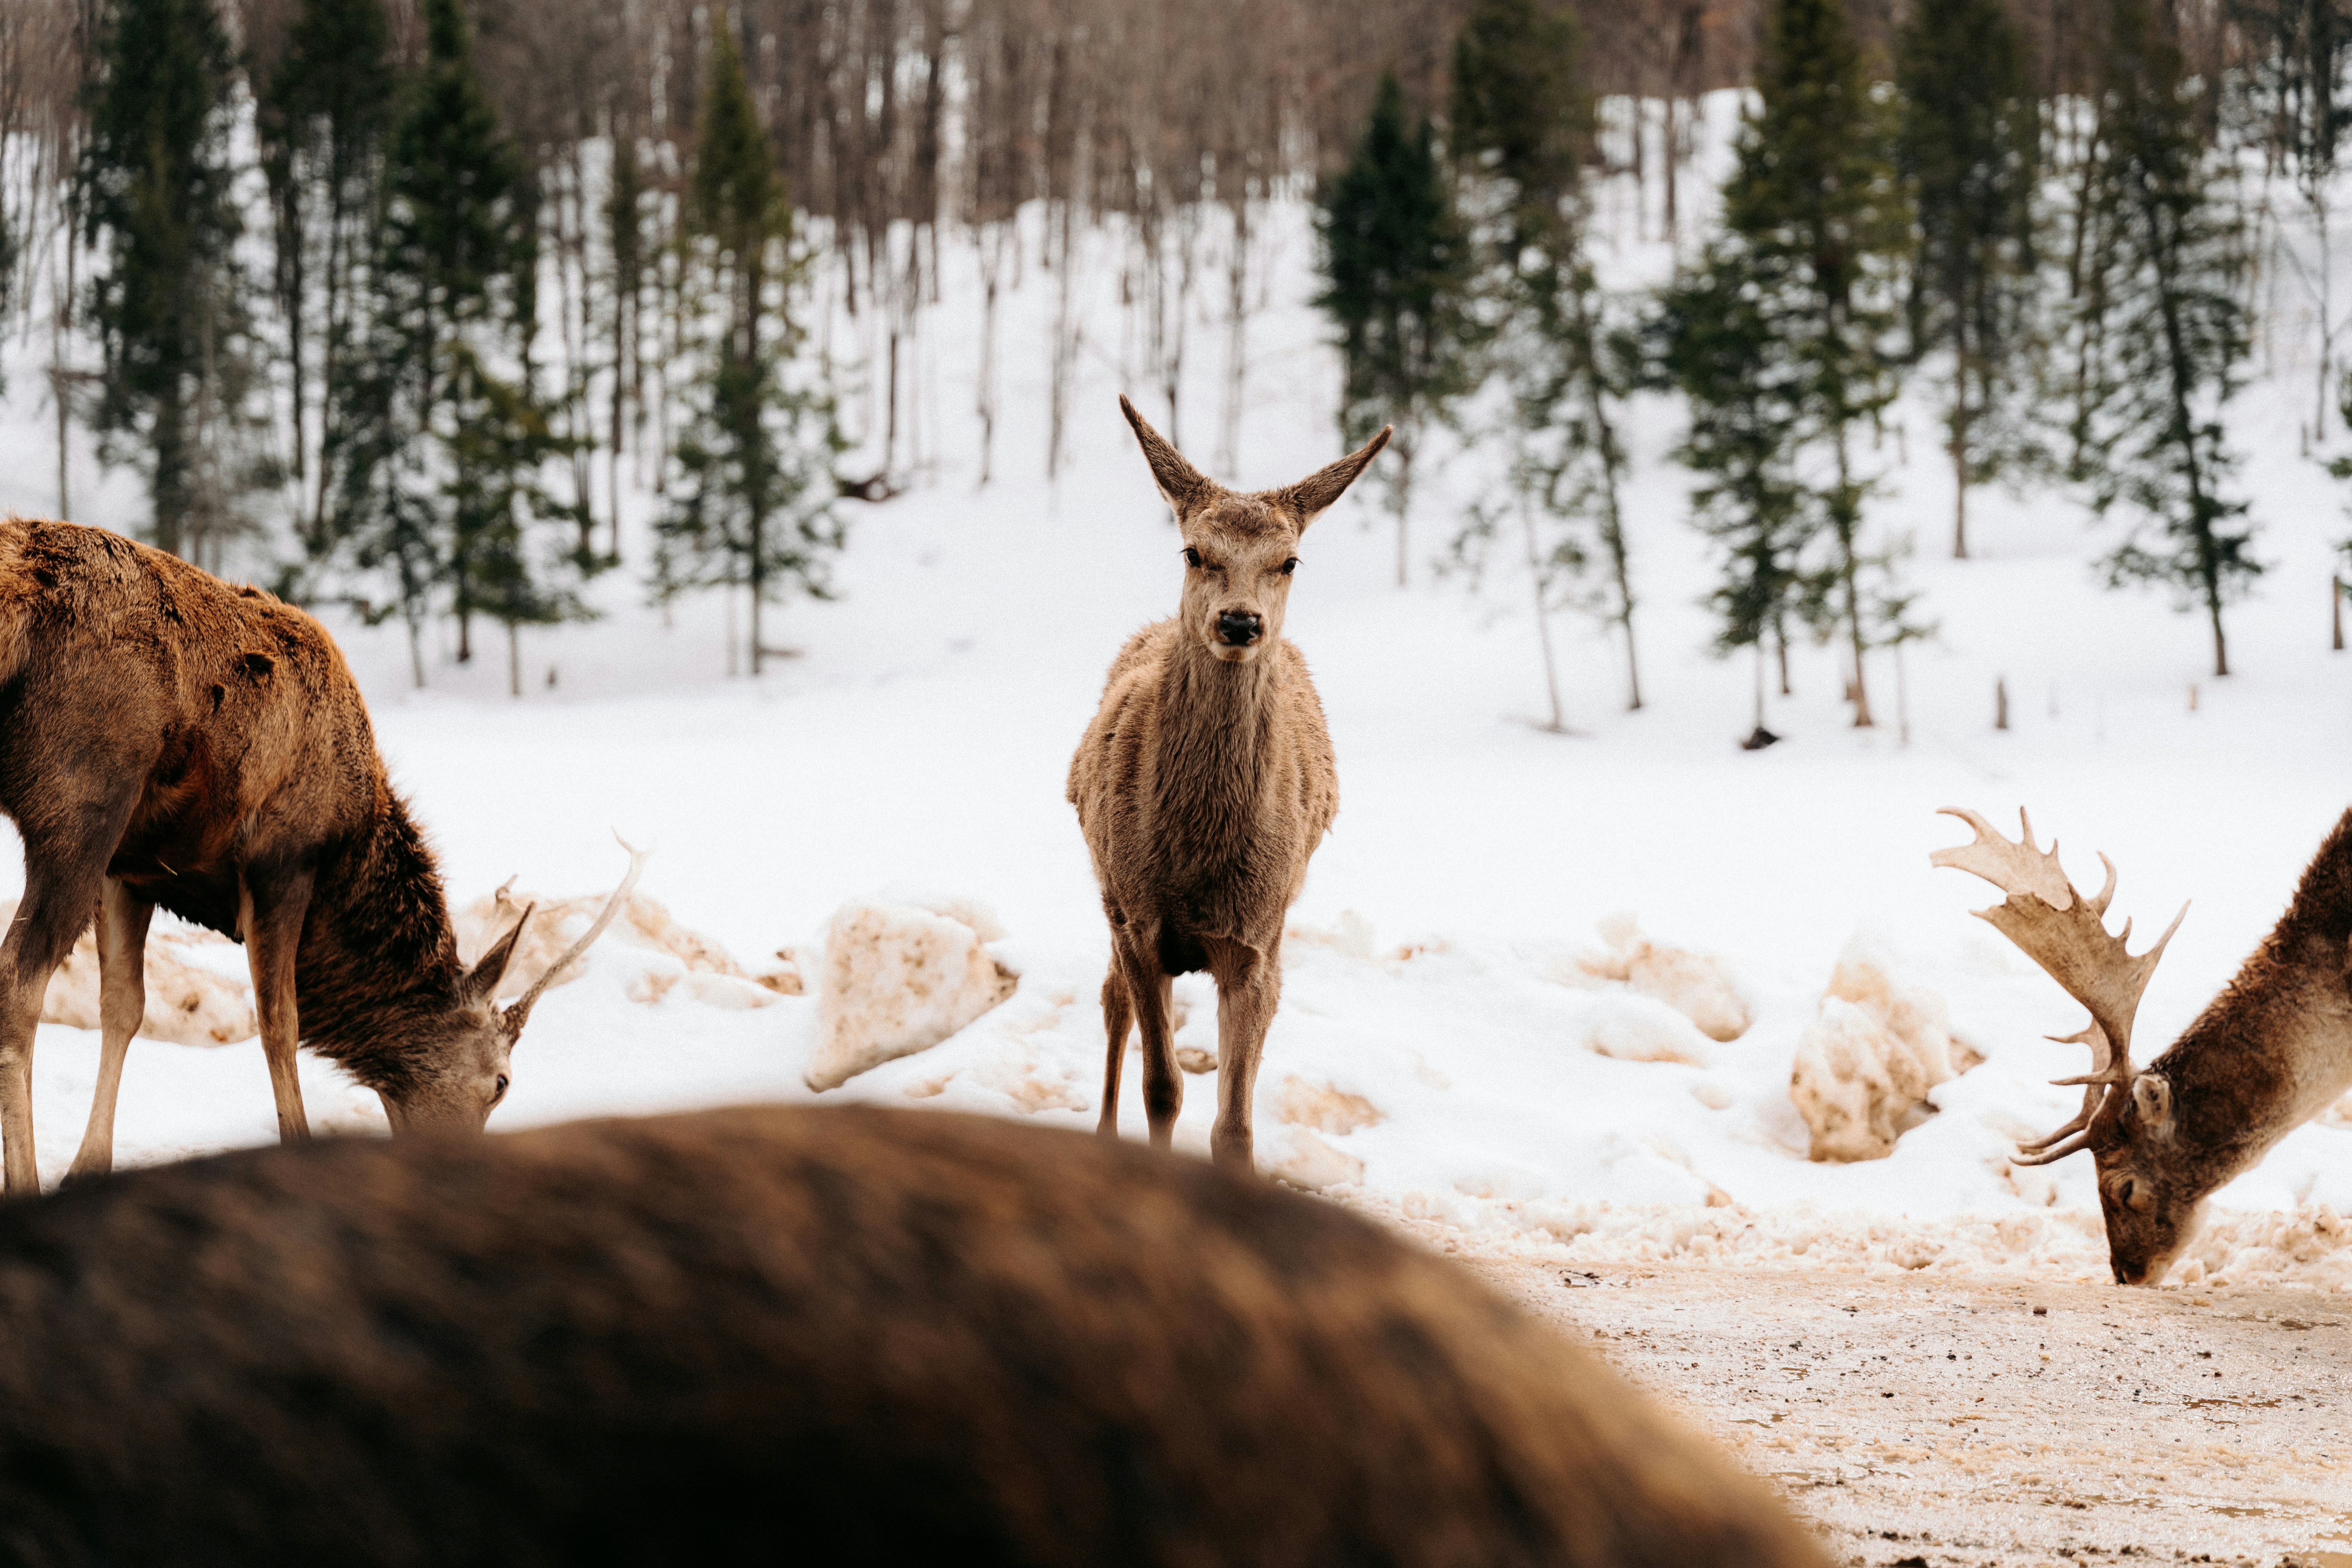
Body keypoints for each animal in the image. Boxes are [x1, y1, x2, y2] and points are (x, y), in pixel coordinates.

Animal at [0, 516, 642, 1194]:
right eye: (501, 1083)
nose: (463, 1165)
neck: (353, 852)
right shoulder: (283, 858)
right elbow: (280, 1023)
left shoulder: (134, 867)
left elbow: (124, 1007)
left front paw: (86, 1166)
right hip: (82, 799)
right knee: (19, 979)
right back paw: (24, 1180)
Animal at [1069, 397, 1389, 1172]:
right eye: (1194, 551)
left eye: (1289, 559)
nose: (1240, 621)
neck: (1197, 860)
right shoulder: (1138, 919)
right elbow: (1163, 1088)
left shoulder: (1257, 942)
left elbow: (1235, 1126)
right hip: (1107, 891)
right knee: (1110, 1001)